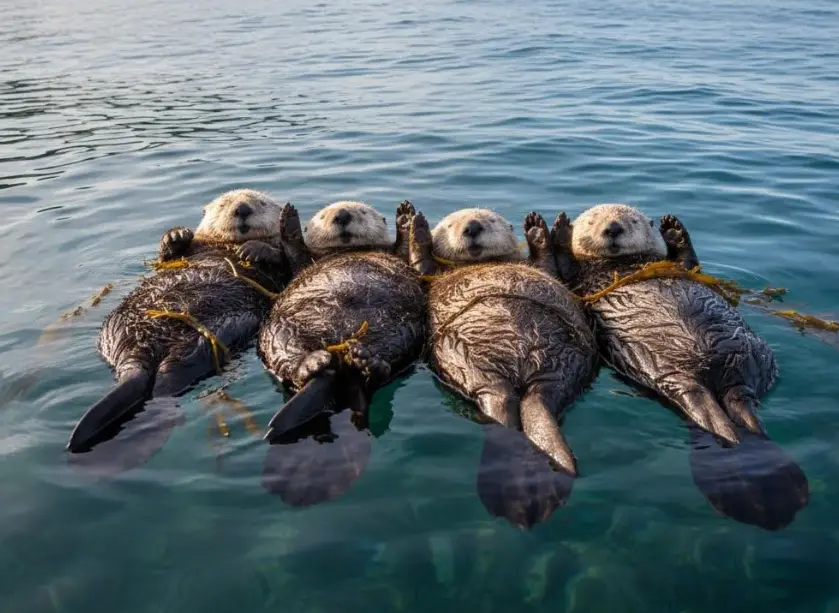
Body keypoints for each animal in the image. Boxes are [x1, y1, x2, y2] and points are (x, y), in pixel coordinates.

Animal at [67, 189, 291, 453]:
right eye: (224, 204)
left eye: (262, 203)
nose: (243, 209)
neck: (227, 245)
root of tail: (140, 352)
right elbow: (166, 257)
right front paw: (176, 235)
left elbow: (284, 258)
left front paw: (255, 249)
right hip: (114, 329)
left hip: (215, 334)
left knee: (171, 376)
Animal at [425, 208, 598, 527]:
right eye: (450, 224)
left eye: (490, 221)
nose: (471, 227)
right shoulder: (430, 274)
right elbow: (423, 261)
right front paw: (413, 224)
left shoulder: (542, 268)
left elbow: (546, 264)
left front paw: (537, 228)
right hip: (457, 353)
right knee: (502, 401)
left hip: (565, 355)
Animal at [551, 203, 809, 529]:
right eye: (592, 221)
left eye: (632, 220)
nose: (613, 228)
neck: (621, 263)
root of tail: (717, 375)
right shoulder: (577, 279)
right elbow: (565, 267)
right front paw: (560, 229)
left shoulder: (681, 266)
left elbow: (689, 263)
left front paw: (673, 228)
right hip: (667, 369)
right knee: (698, 399)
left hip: (751, 358)